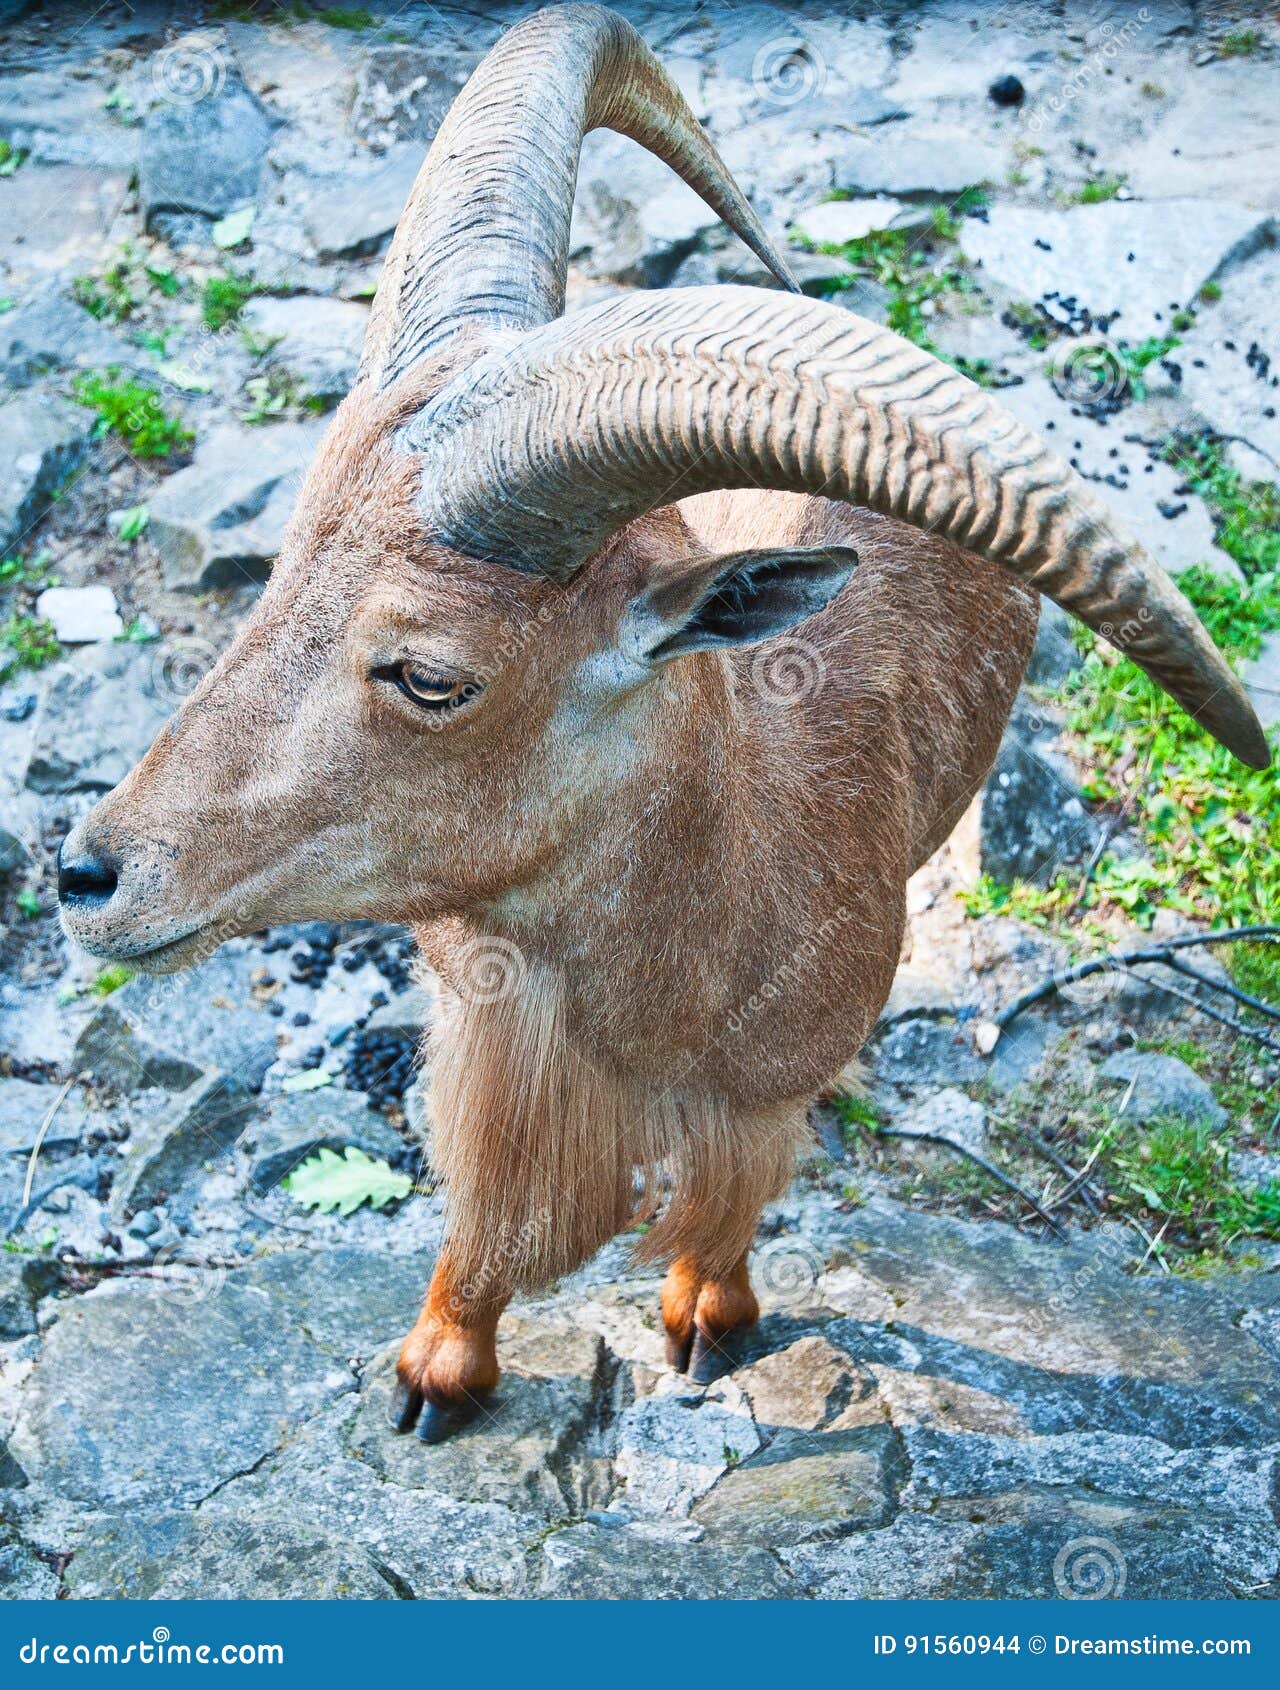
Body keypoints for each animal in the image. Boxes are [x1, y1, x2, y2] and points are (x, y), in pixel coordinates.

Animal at [59, 4, 1268, 1443]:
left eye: (430, 675)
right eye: (282, 567)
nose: (90, 873)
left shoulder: (756, 1093)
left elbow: (725, 1208)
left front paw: (707, 1319)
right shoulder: (490, 1055)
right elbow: (485, 1227)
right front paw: (437, 1370)